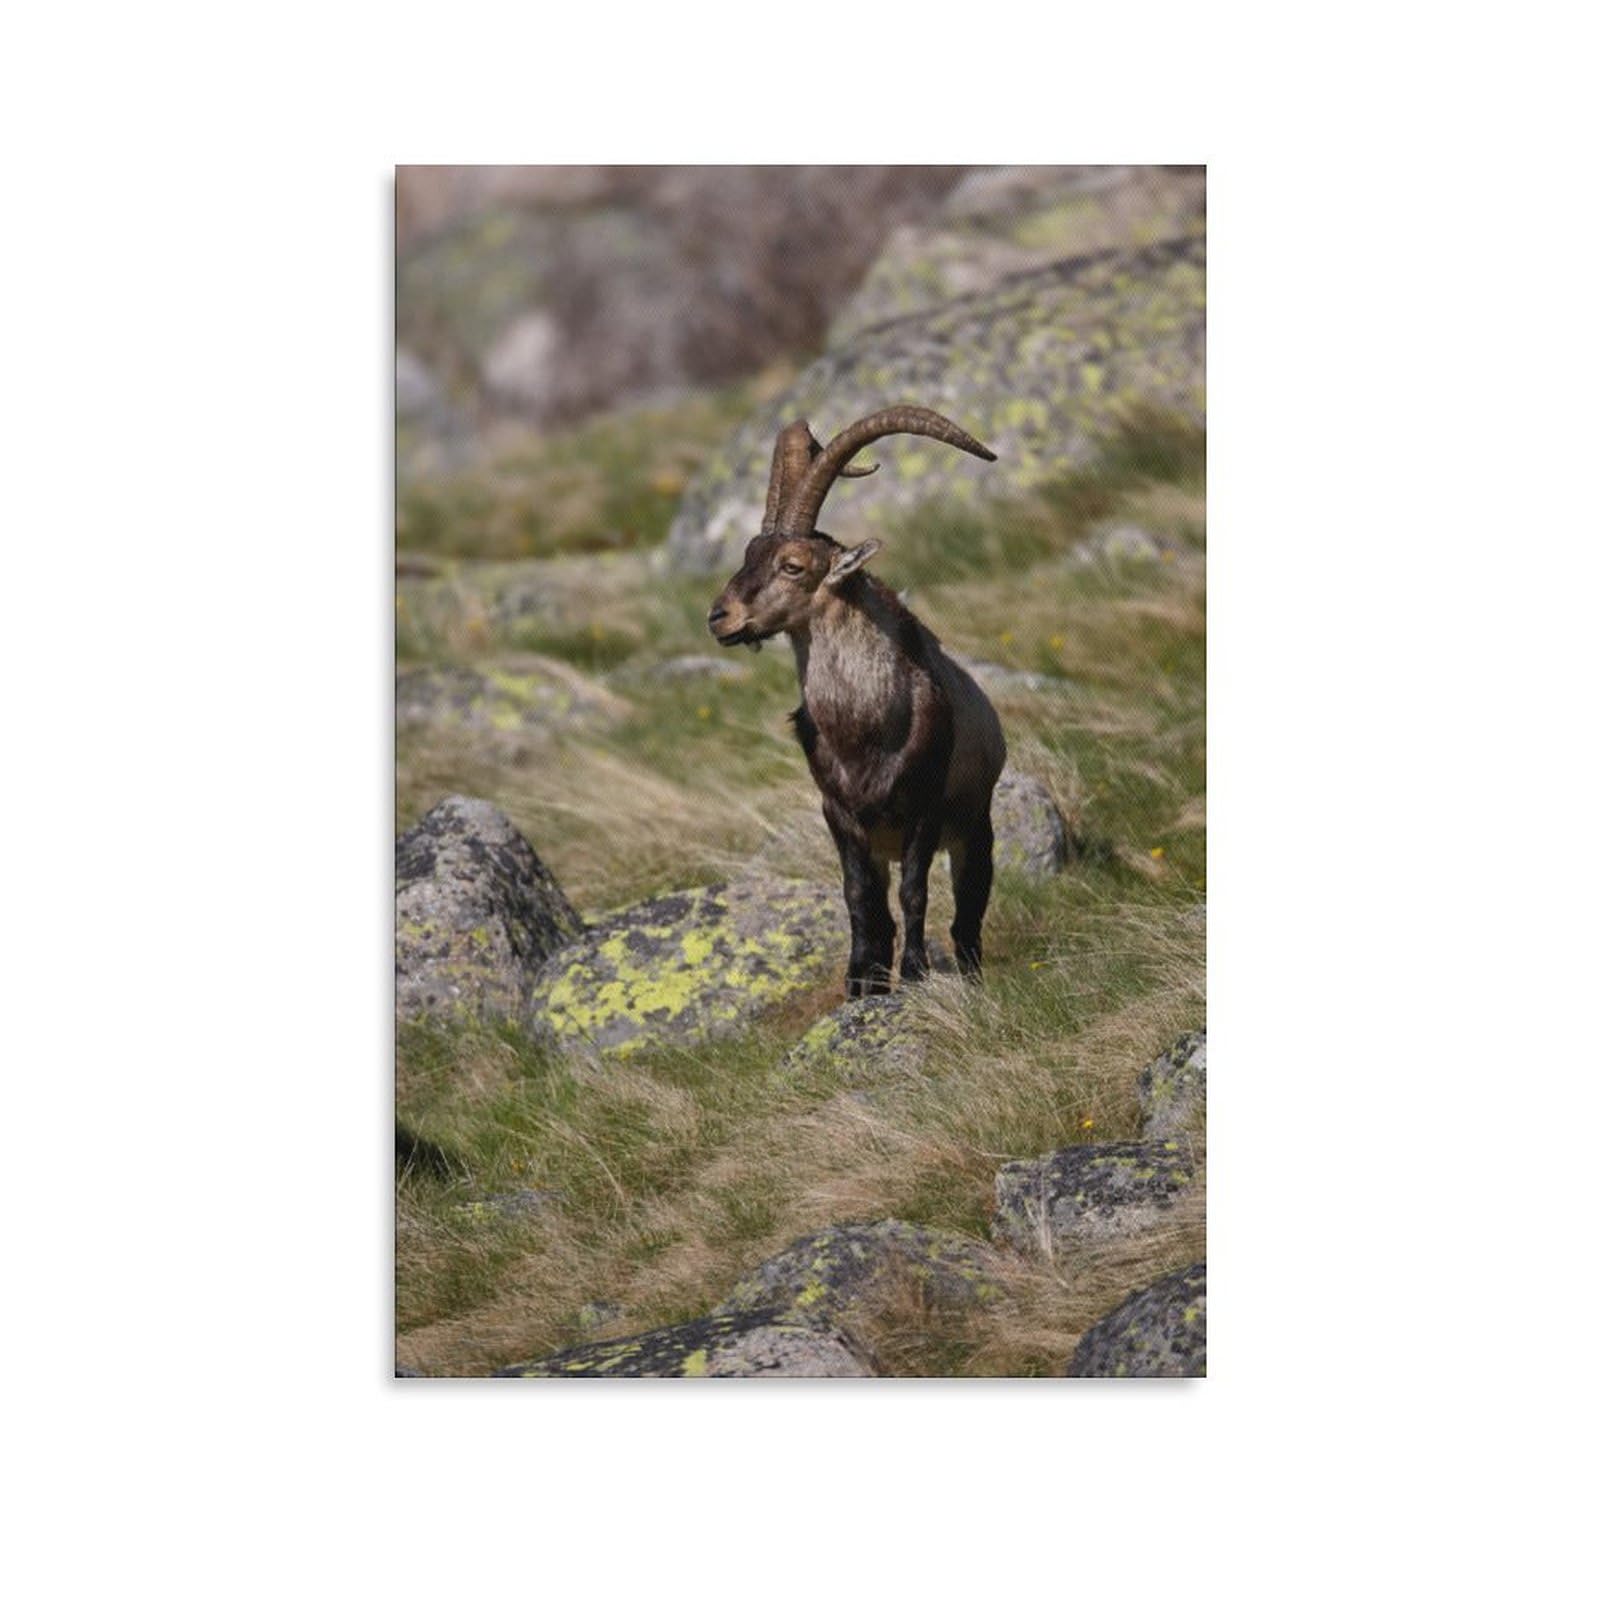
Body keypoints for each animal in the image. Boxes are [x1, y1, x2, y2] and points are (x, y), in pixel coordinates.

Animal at [708, 406, 1006, 997]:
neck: (865, 725)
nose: (720, 617)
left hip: (972, 825)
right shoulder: (841, 816)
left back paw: (968, 971)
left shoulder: (923, 809)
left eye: (793, 565)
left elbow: (915, 893)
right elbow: (859, 899)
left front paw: (913, 973)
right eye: (750, 554)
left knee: (968, 910)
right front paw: (861, 984)